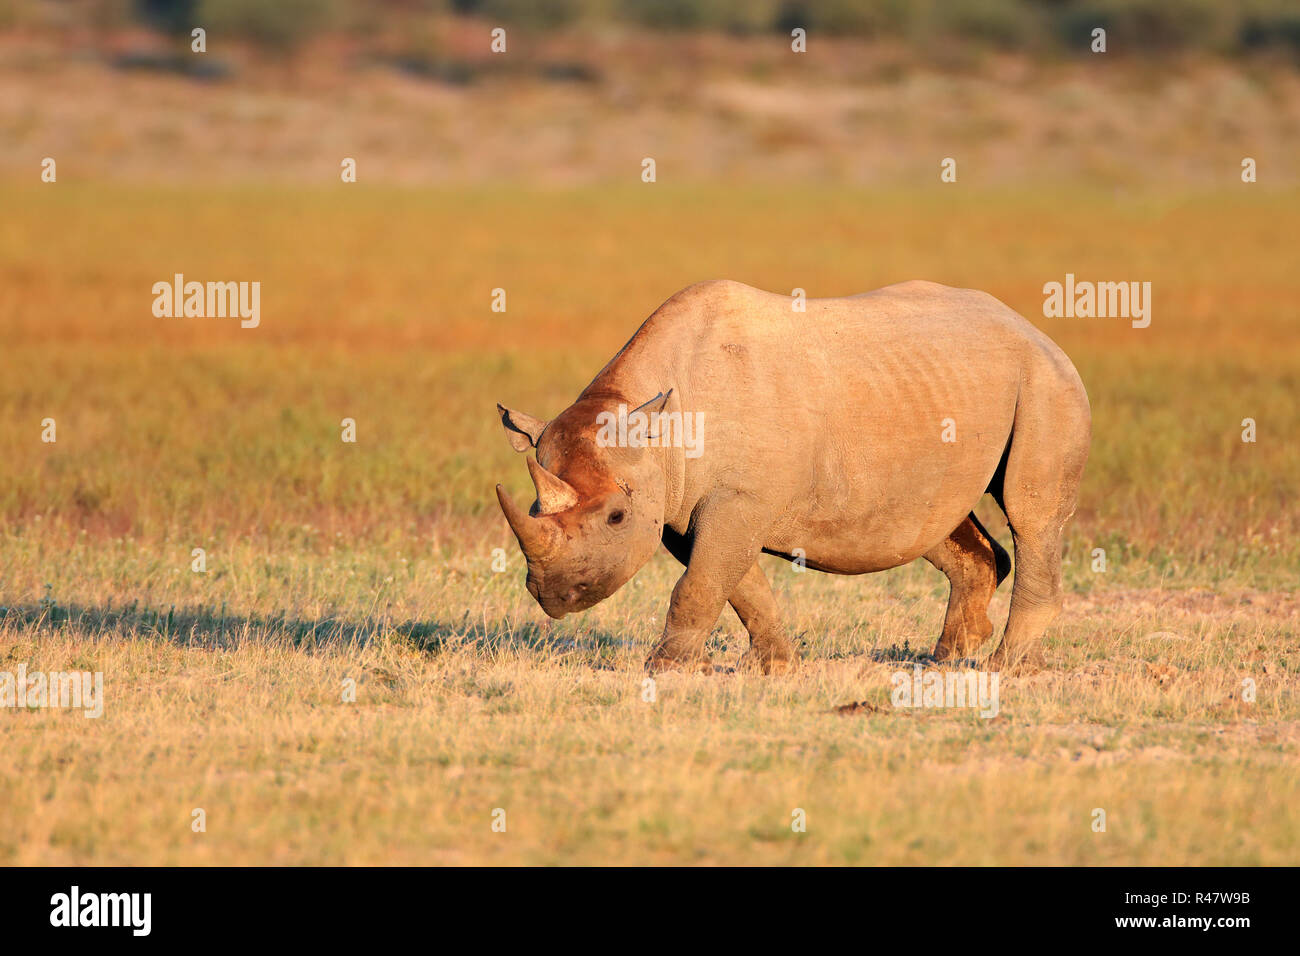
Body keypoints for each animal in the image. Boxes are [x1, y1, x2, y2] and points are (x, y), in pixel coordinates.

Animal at [495, 280, 1090, 674]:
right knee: (933, 517)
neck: (653, 425)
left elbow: (701, 585)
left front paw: (661, 671)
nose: (553, 597)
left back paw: (1005, 668)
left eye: (617, 517)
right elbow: (737, 585)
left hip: (1045, 379)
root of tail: (1034, 329)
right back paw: (947, 657)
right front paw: (777, 666)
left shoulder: (735, 499)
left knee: (1030, 516)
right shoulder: (686, 504)